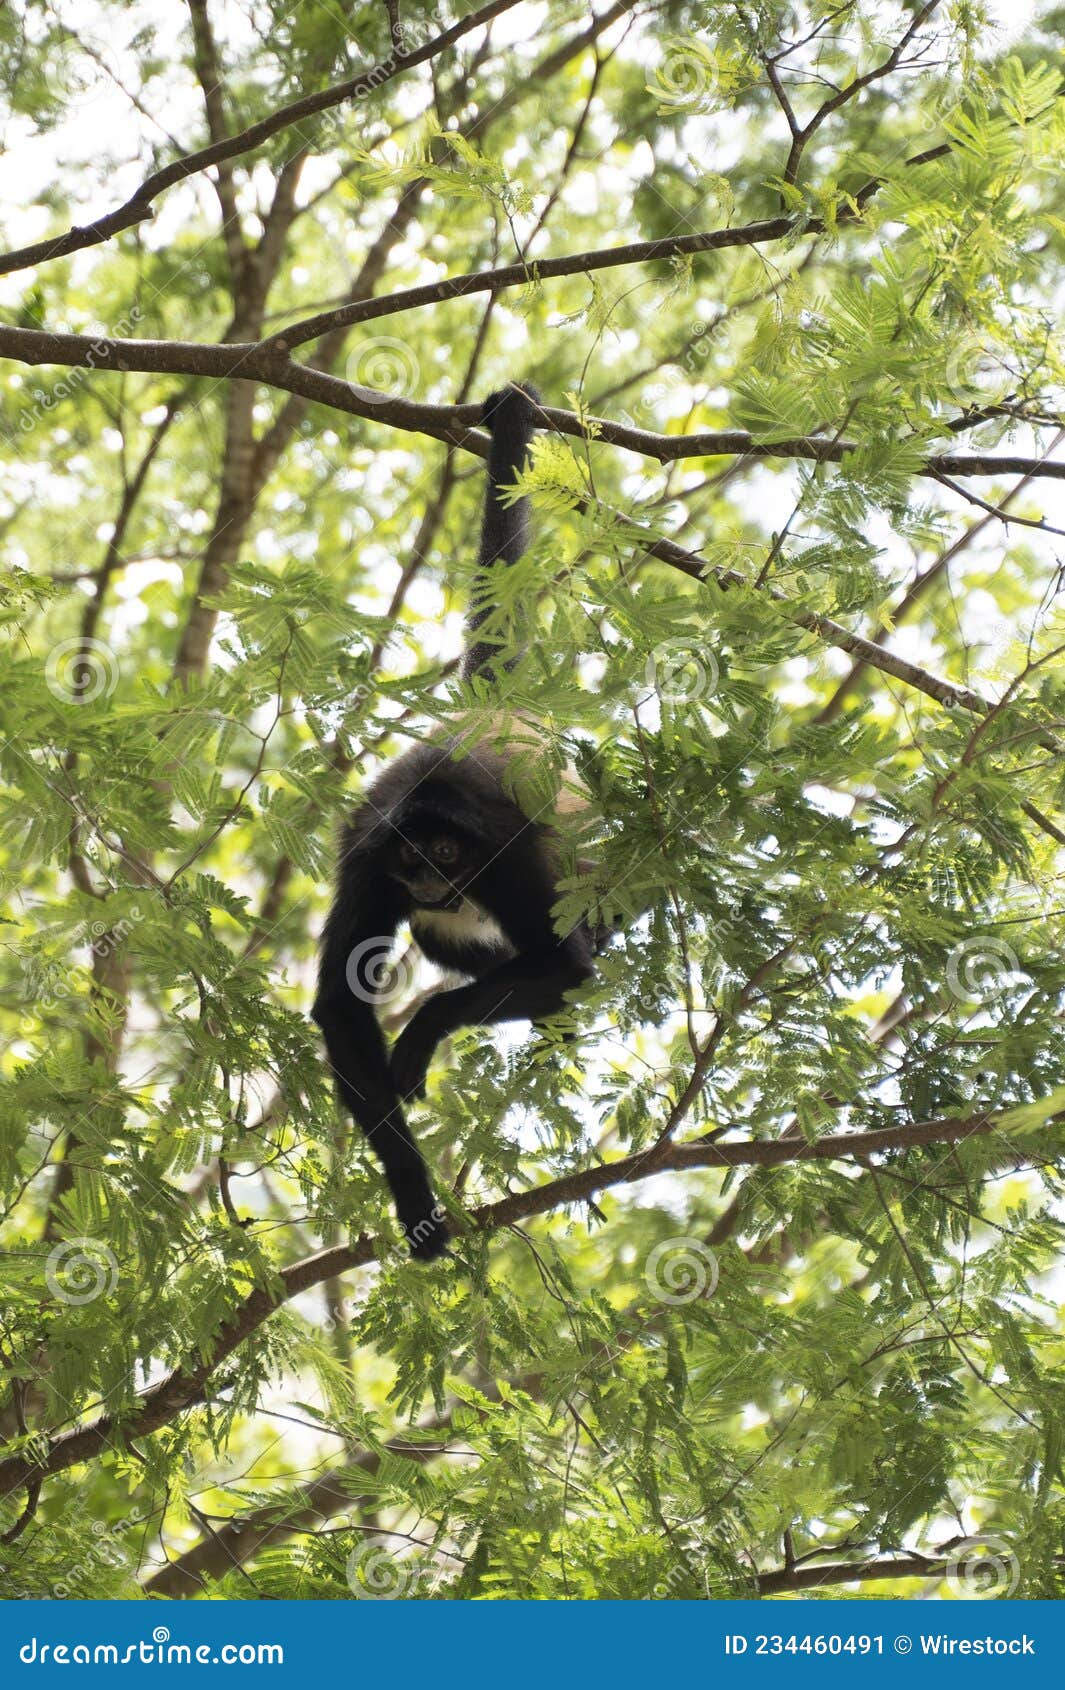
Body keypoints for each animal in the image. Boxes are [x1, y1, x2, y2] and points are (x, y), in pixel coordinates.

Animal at [312, 383, 601, 1261]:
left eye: (446, 849)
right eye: (413, 860)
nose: (435, 882)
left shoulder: (504, 855)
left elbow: (567, 967)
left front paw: (424, 1029)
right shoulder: (369, 860)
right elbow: (341, 1010)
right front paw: (414, 1197)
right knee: (447, 941)